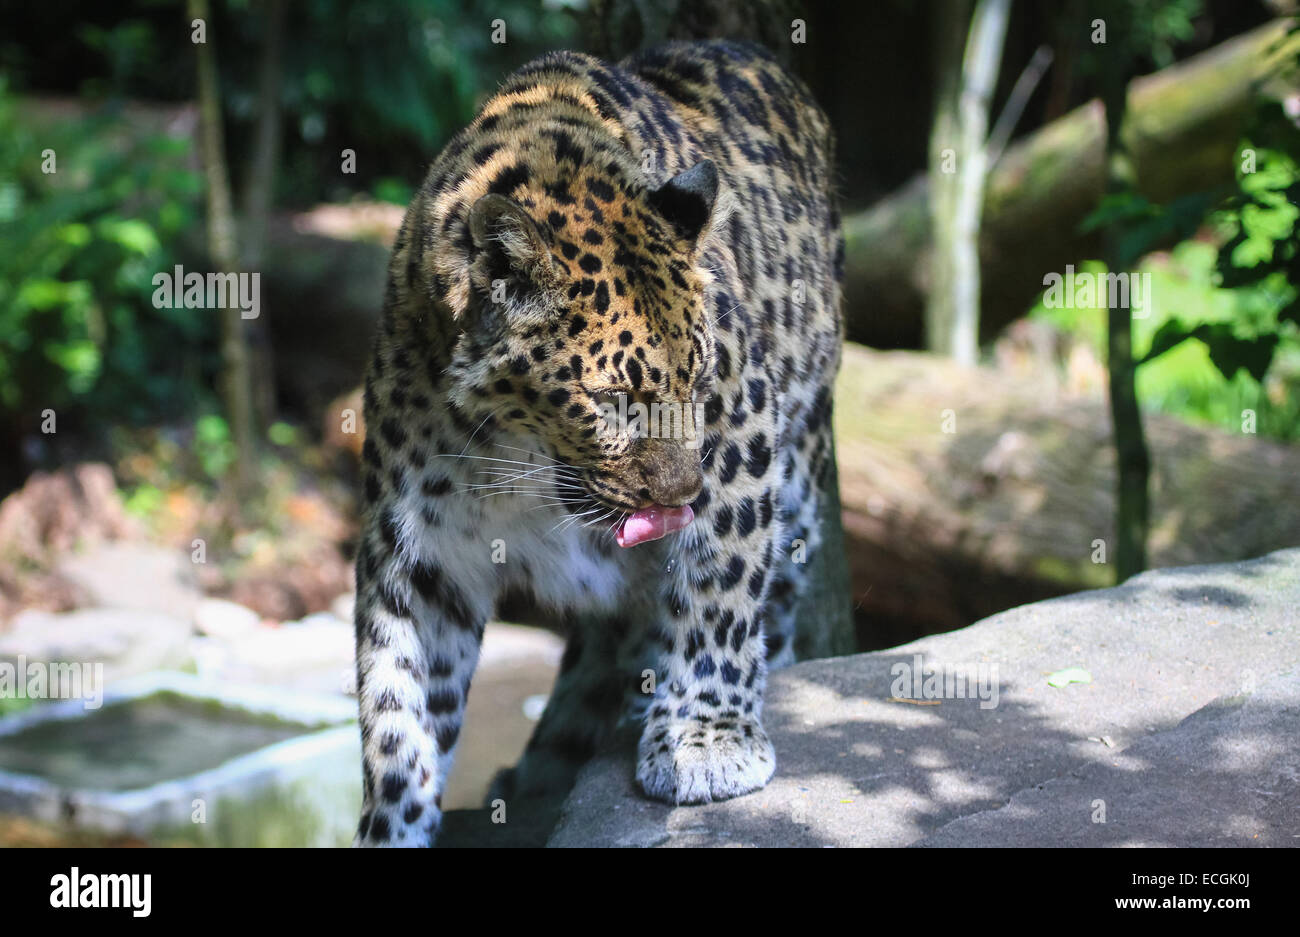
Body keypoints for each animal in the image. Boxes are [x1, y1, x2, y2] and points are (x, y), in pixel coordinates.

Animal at [352, 38, 844, 847]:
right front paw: (391, 824)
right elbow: (398, 708)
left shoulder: (744, 424)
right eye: (613, 403)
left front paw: (709, 740)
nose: (681, 495)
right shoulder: (420, 545)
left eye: (698, 377)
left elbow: (722, 582)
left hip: (803, 466)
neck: (519, 451)